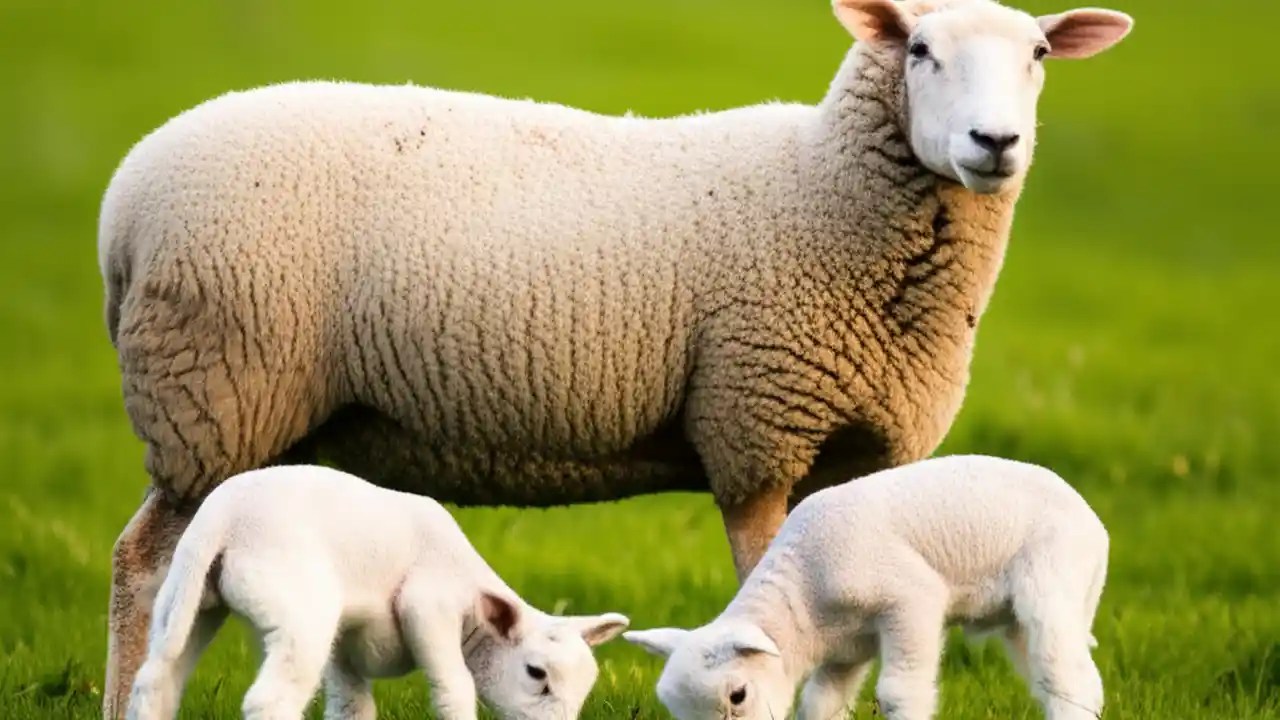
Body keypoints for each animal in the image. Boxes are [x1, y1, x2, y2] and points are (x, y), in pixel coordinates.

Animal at [125, 464, 630, 720]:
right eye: (535, 674)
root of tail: (221, 518)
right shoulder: (428, 608)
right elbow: (455, 690)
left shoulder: (345, 644)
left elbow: (352, 706)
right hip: (300, 610)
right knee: (268, 701)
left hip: (188, 598)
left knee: (155, 682)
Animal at [624, 454, 1111, 720]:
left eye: (737, 696)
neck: (803, 599)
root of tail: (1097, 530)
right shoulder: (846, 648)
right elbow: (821, 703)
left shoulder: (911, 600)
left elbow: (899, 693)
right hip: (1020, 618)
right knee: (1051, 678)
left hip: (1052, 580)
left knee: (1071, 680)